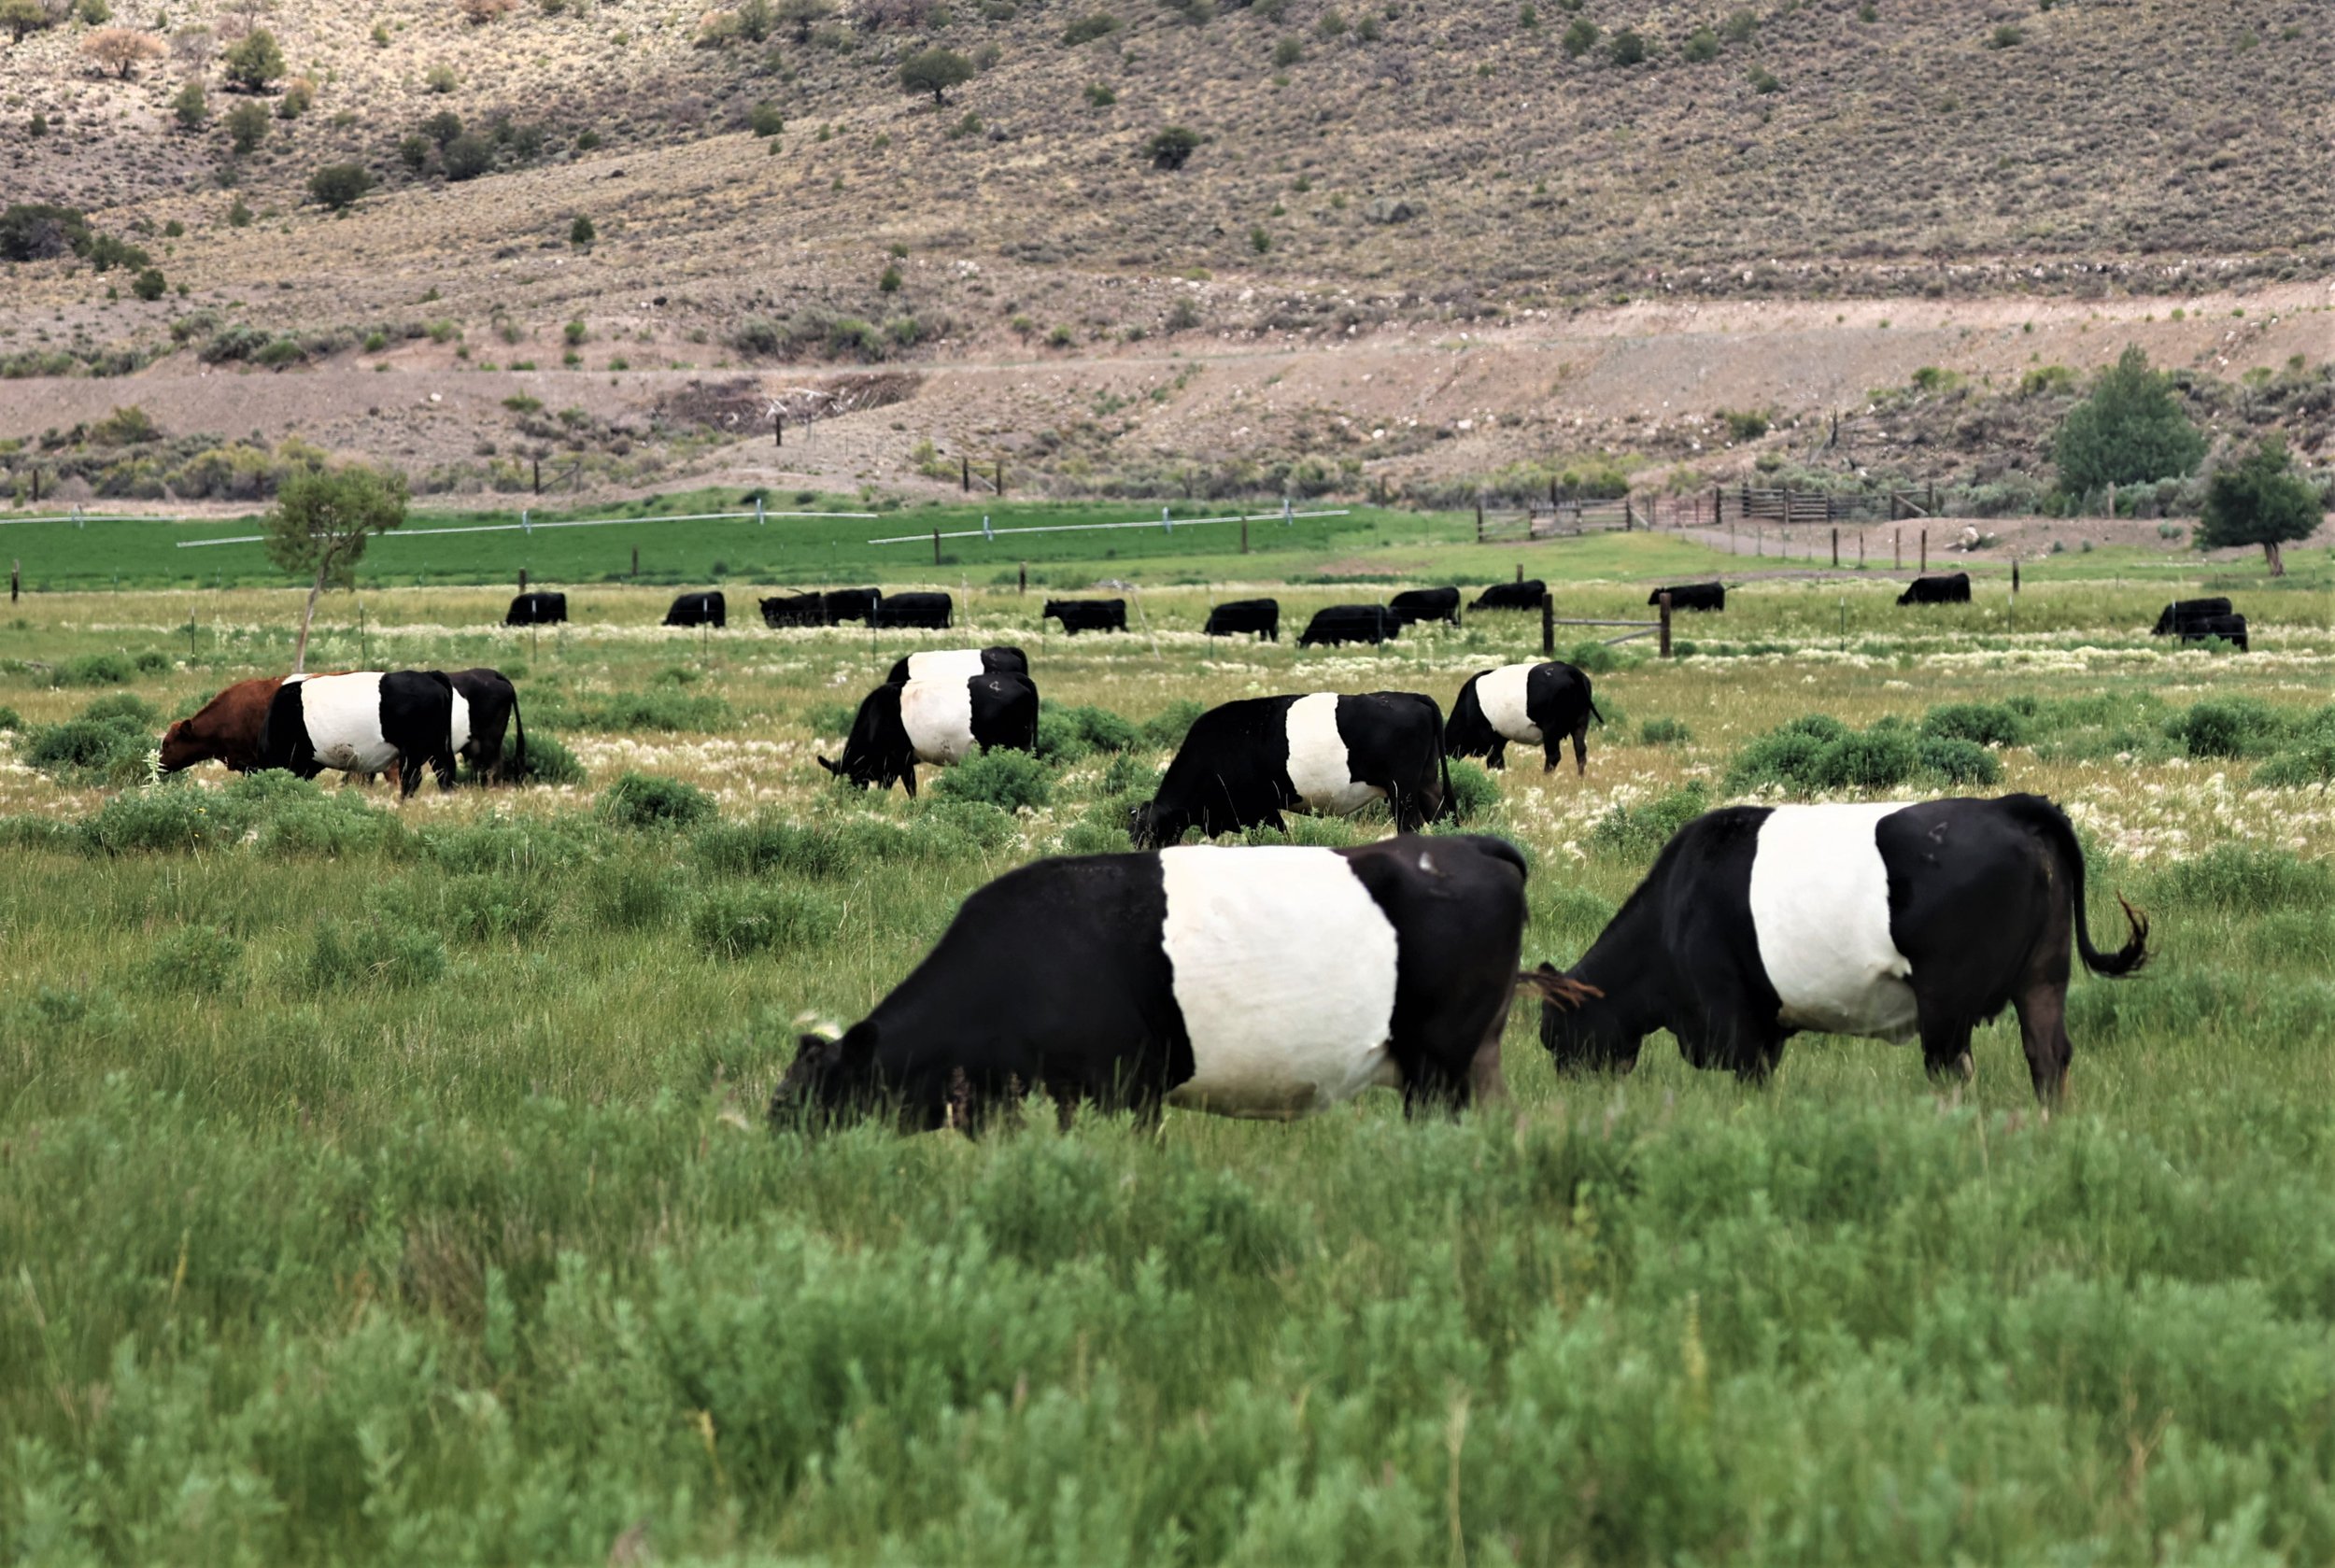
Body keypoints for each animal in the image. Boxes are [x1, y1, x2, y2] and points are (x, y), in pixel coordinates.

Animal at [769, 833, 1534, 1132]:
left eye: (811, 1097)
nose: (777, 1152)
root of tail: (1467, 845)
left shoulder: (1115, 1086)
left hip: (1440, 1063)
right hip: (1476, 1059)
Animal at [817, 673, 1039, 795]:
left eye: (850, 777)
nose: (851, 799)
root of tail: (1013, 677)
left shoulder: (899, 759)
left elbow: (908, 787)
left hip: (1013, 745)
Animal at [1128, 691, 1449, 848]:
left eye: (1147, 833)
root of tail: (1409, 696)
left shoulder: (1258, 812)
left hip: (1401, 791)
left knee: (1411, 826)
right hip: (1426, 784)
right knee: (1442, 816)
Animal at [1445, 661, 1604, 774]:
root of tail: (1571, 670)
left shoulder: (1491, 739)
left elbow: (1495, 762)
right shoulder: (1499, 740)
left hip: (1551, 727)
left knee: (1553, 756)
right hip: (1580, 723)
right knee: (1580, 752)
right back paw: (1580, 778)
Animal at [1528, 794, 2148, 1105]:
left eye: (1554, 1035)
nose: (1569, 1103)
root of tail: (2011, 805)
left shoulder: (1734, 1022)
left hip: (1947, 1002)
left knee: (1953, 1072)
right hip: (2043, 976)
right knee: (2048, 1058)